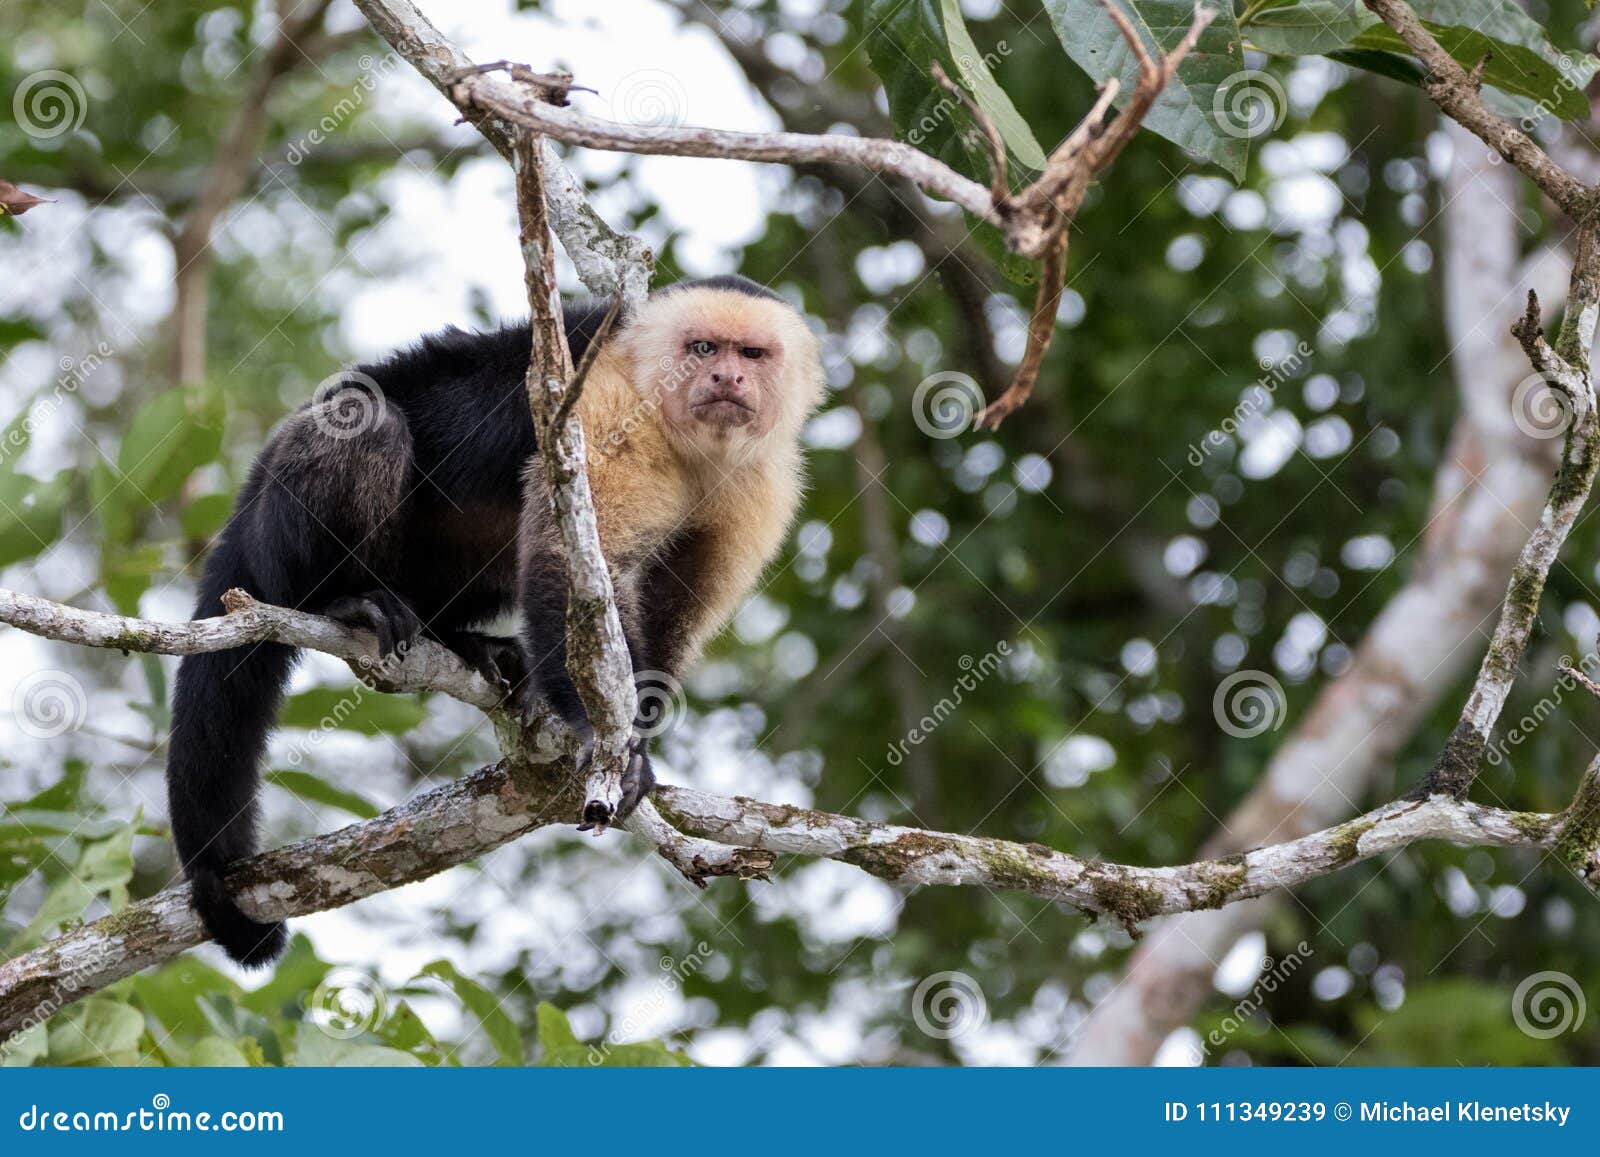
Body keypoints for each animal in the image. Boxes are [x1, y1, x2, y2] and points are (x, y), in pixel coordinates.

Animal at [165, 275, 825, 967]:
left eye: (752, 354)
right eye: (702, 348)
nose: (727, 377)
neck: (687, 443)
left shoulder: (764, 480)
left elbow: (675, 612)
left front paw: (637, 729)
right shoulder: (605, 406)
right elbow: (567, 570)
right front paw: (607, 742)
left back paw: (461, 640)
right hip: (276, 536)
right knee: (363, 418)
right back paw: (339, 601)